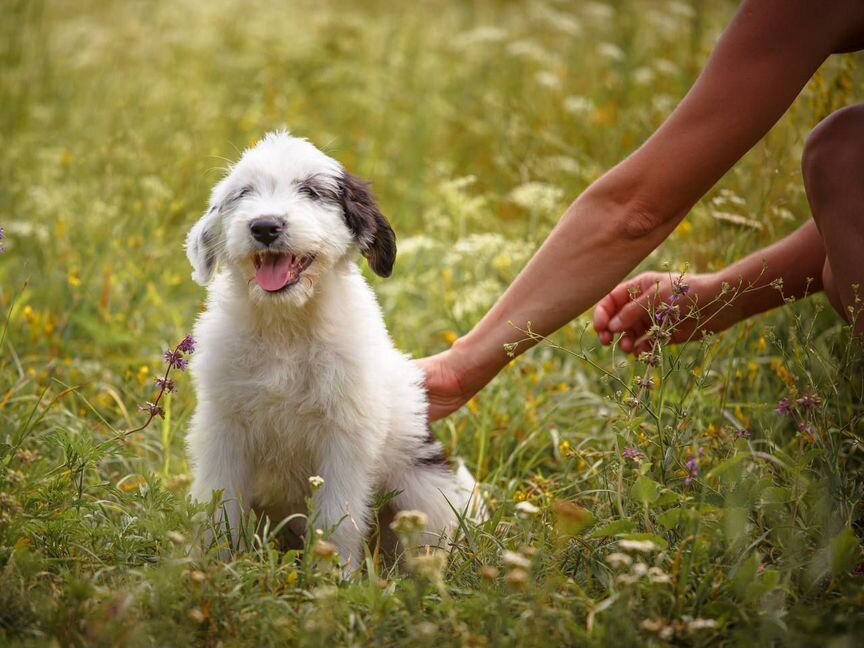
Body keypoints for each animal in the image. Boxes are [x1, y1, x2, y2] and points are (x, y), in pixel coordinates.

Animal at [184, 132, 480, 568]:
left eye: (311, 190)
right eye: (244, 193)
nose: (265, 226)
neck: (286, 326)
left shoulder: (346, 436)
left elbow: (336, 516)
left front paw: (332, 574)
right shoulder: (223, 427)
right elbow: (221, 505)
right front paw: (215, 565)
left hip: (423, 489)